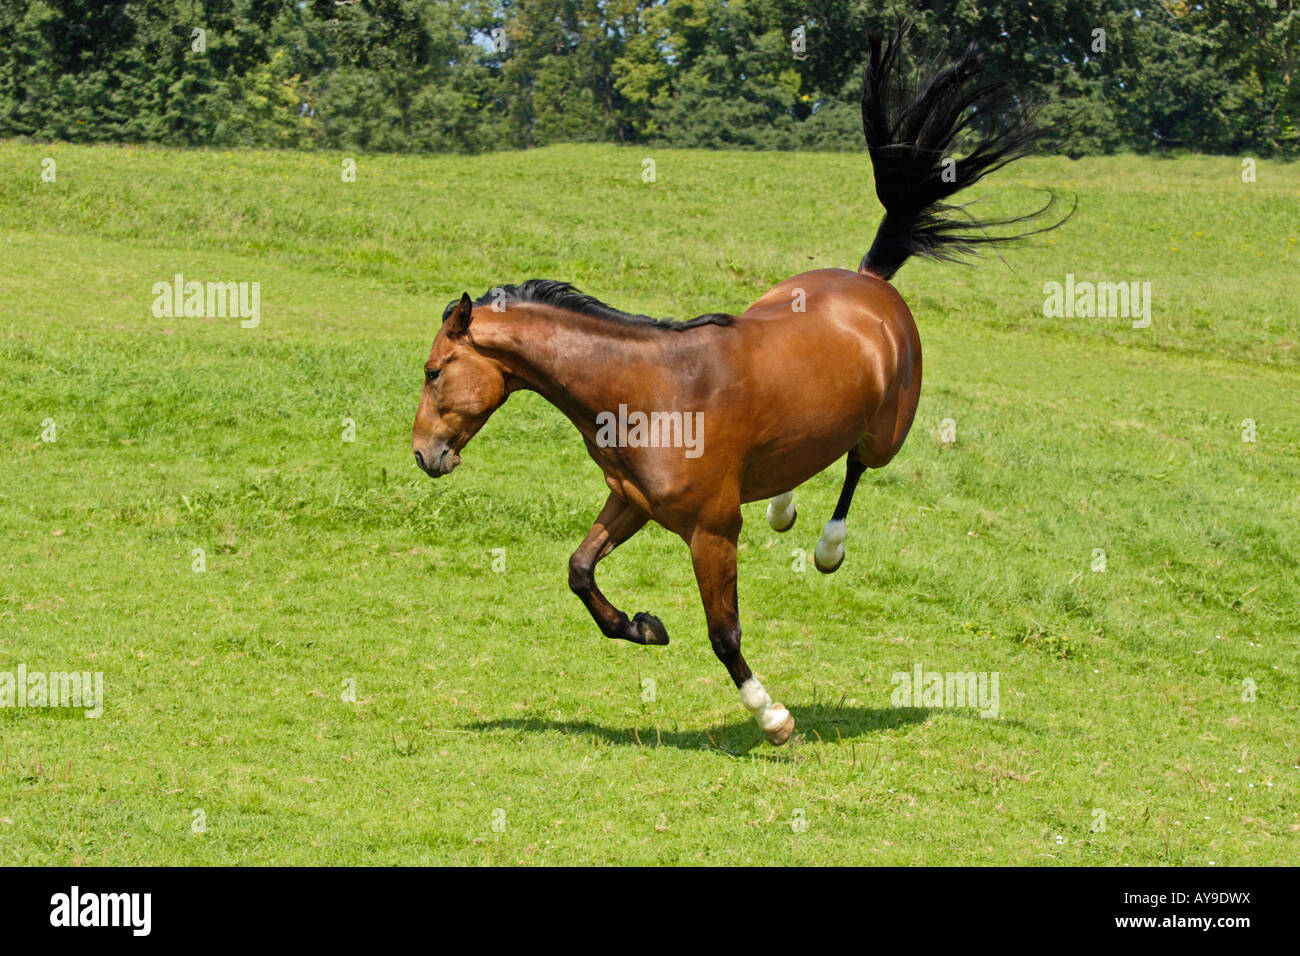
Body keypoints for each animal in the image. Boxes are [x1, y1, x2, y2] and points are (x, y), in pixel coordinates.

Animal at [411, 29, 1068, 745]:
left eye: (433, 371)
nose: (423, 455)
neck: (649, 393)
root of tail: (871, 280)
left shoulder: (713, 530)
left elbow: (723, 632)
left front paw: (773, 716)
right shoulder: (632, 503)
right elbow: (579, 570)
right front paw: (643, 627)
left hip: (886, 433)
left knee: (856, 466)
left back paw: (827, 548)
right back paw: (782, 506)